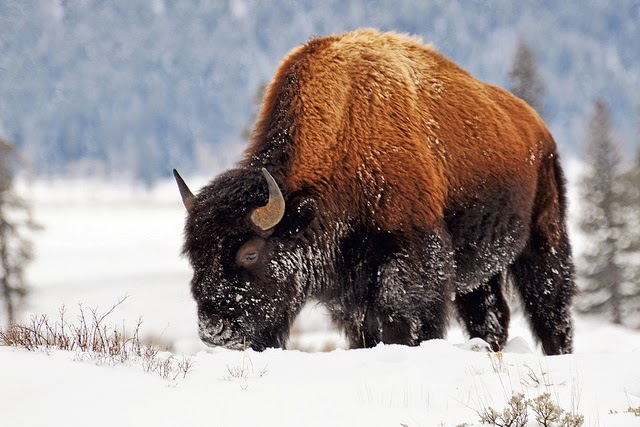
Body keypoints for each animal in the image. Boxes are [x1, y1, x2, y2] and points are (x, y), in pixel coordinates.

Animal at [174, 29, 575, 355]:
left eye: (251, 253)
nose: (214, 331)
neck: (344, 135)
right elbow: (364, 332)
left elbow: (403, 321)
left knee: (551, 307)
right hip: (480, 268)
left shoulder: (411, 259)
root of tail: (538, 129)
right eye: (193, 254)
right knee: (491, 315)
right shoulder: (352, 293)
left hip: (545, 241)